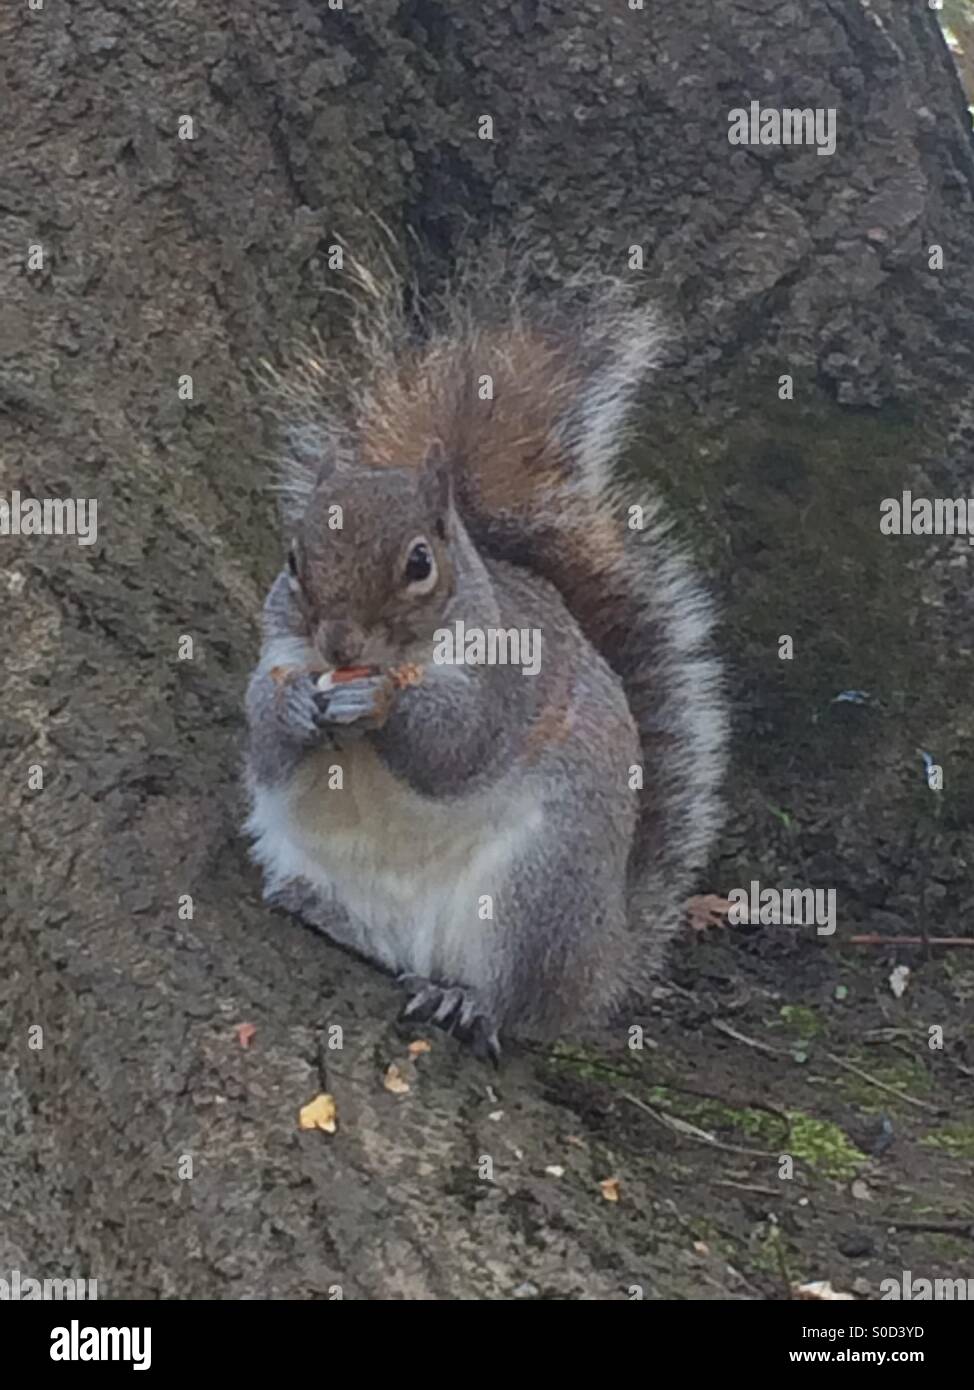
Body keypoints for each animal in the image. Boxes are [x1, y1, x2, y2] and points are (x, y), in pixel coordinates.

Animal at [244, 258, 728, 1060]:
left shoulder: (503, 678)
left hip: (536, 892)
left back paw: (466, 999)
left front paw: (381, 701)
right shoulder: (276, 649)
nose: (339, 646)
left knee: (512, 997)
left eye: (419, 563)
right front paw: (294, 707)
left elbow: (456, 743)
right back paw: (322, 910)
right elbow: (263, 738)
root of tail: (597, 965)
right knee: (381, 943)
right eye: (291, 558)